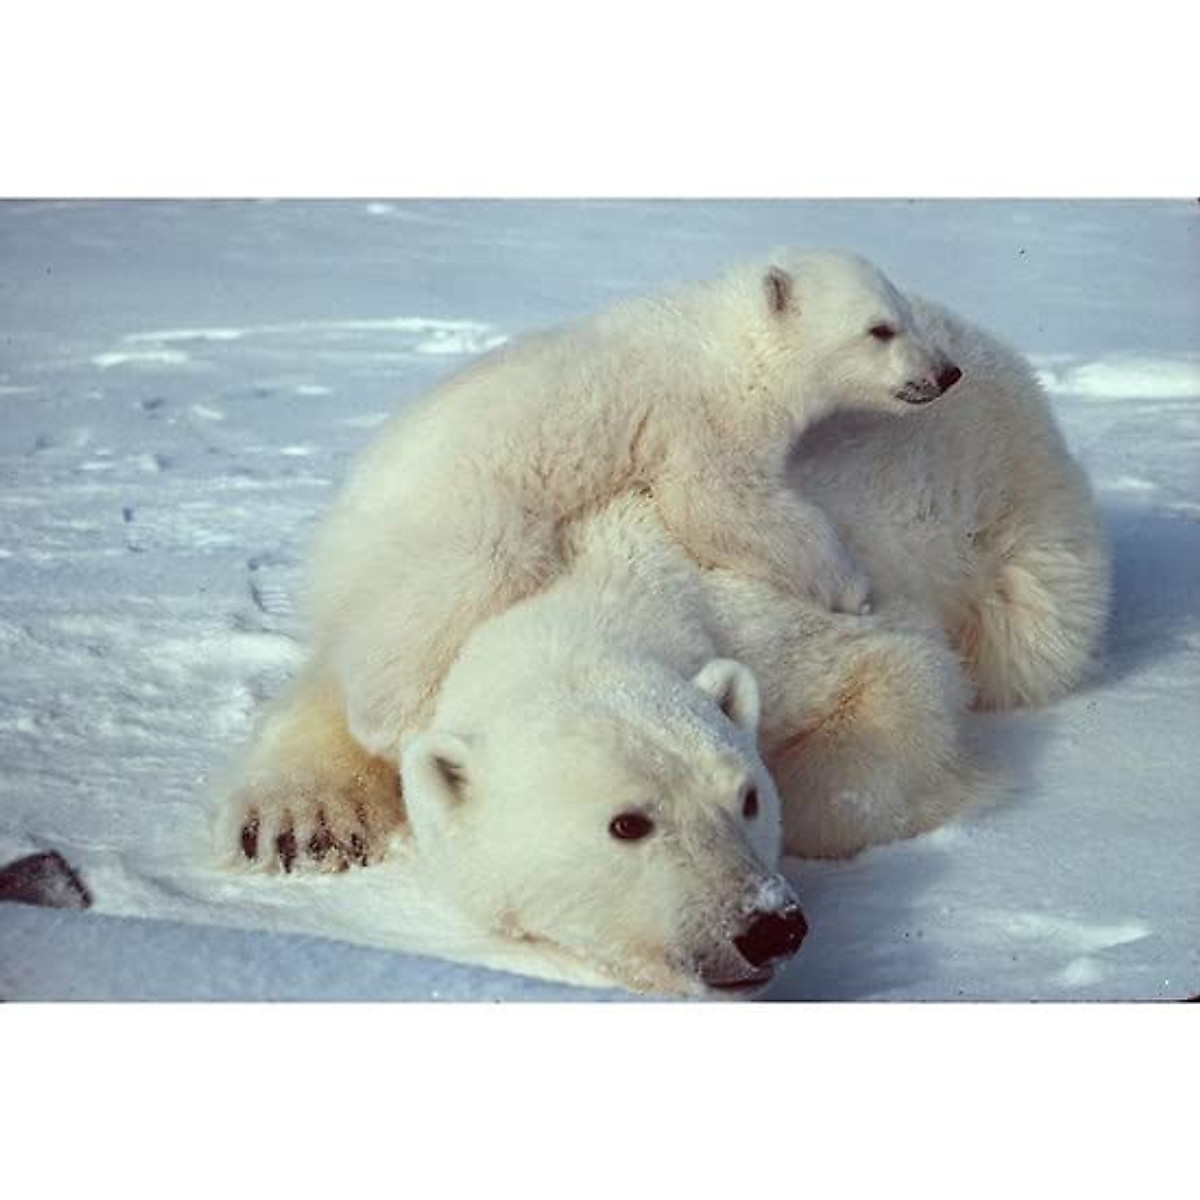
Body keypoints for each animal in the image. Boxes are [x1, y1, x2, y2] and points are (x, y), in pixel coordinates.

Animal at [305, 249, 963, 761]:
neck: (730, 343)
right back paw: (397, 724)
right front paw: (852, 586)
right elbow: (718, 503)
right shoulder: (702, 415)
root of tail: (333, 539)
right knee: (452, 592)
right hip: (461, 515)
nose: (947, 373)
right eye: (879, 329)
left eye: (906, 314)